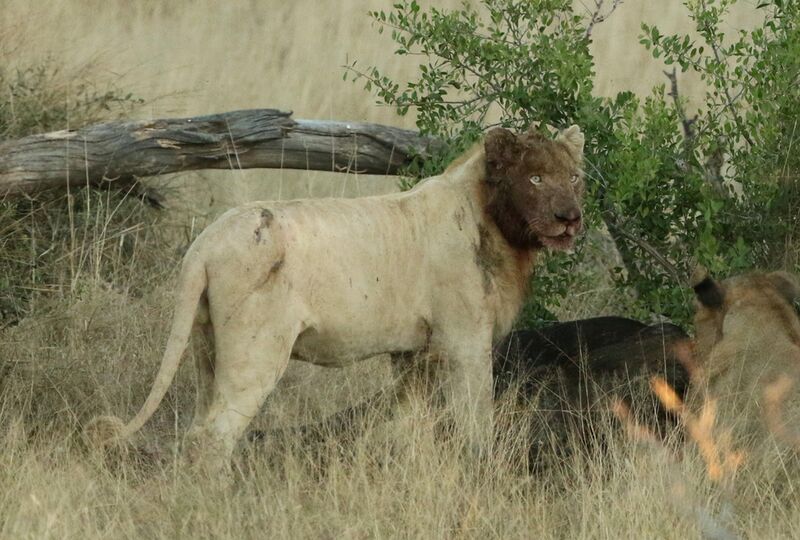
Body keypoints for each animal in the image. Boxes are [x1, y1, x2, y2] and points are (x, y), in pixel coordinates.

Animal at [86, 124, 586, 472]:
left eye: (574, 177)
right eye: (536, 178)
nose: (570, 217)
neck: (499, 227)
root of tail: (206, 243)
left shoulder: (413, 355)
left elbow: (413, 427)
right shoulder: (465, 344)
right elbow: (476, 424)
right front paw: (481, 472)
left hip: (206, 349)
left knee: (195, 427)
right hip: (256, 351)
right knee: (212, 436)